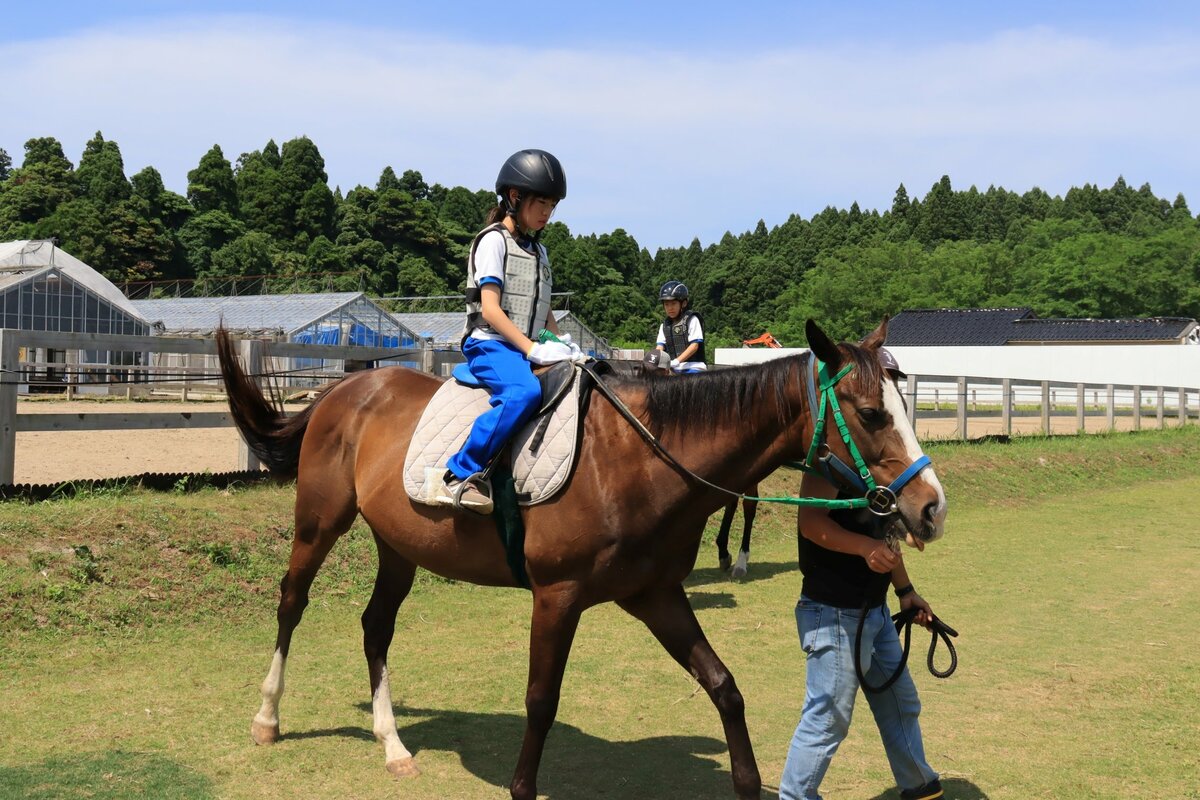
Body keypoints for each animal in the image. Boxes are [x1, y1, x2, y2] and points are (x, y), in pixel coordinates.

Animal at [216, 318, 947, 800]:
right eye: (870, 413)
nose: (931, 508)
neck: (637, 458)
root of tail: (346, 391)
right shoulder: (558, 596)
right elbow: (541, 699)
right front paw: (521, 787)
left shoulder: (656, 595)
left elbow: (724, 687)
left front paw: (746, 781)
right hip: (319, 523)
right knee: (291, 603)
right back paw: (267, 718)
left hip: (399, 546)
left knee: (376, 627)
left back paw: (392, 743)